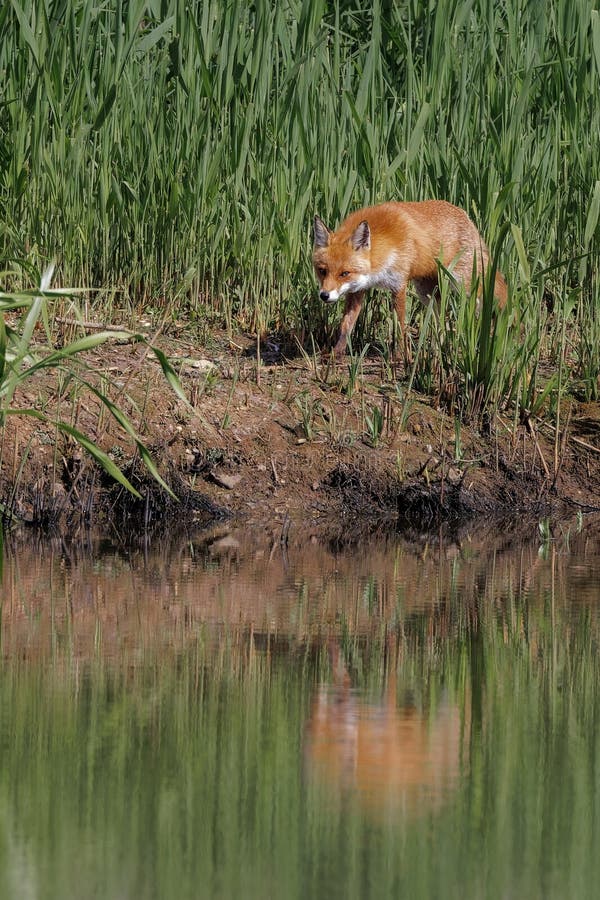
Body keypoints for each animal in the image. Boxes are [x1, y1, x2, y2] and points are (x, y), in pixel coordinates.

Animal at [313, 200, 508, 358]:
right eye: (322, 271)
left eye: (344, 273)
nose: (324, 295)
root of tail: (465, 216)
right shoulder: (358, 289)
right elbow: (346, 325)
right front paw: (336, 353)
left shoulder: (398, 285)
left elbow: (400, 327)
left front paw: (402, 357)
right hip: (427, 293)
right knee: (439, 321)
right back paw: (437, 351)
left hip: (464, 284)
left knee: (482, 305)